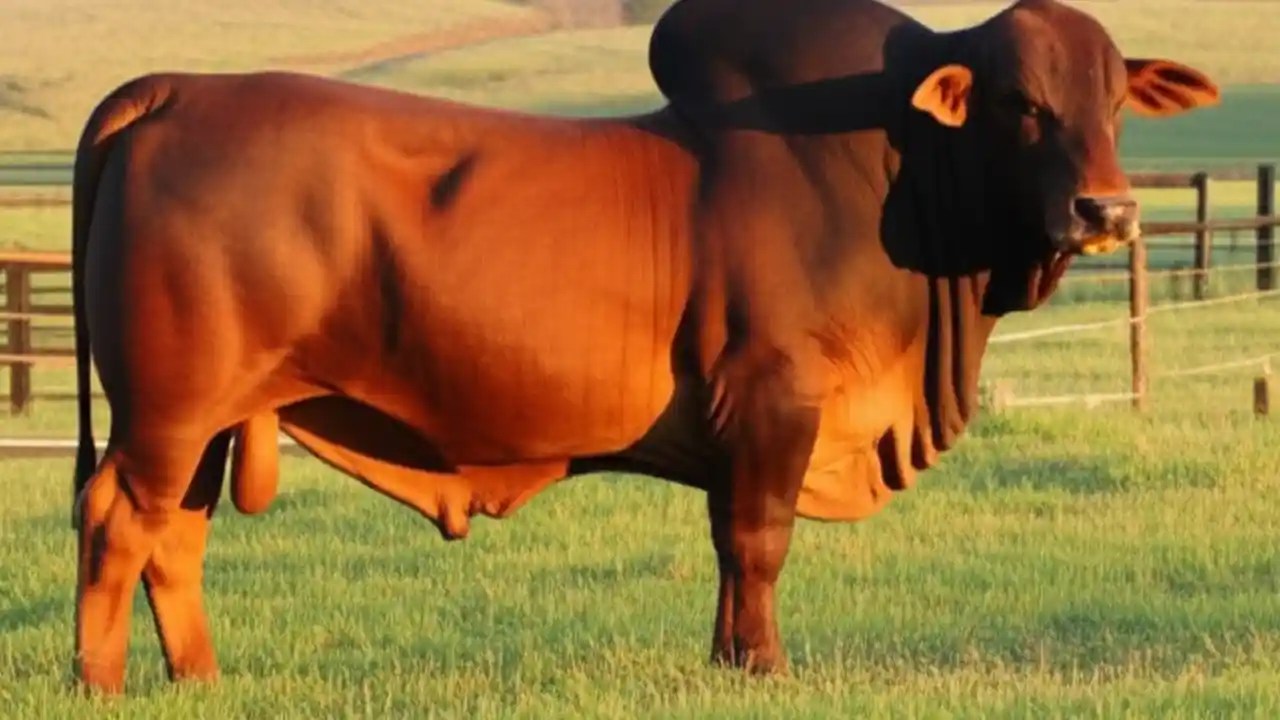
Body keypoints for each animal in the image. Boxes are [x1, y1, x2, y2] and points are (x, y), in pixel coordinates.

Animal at [67, 0, 1218, 694]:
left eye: (1116, 101)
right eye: (1021, 104)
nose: (1108, 210)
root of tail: (179, 88)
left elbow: (730, 545)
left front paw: (728, 657)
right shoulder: (773, 399)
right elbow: (756, 540)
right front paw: (761, 665)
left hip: (204, 419)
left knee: (177, 535)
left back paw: (200, 679)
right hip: (168, 412)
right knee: (120, 522)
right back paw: (99, 682)